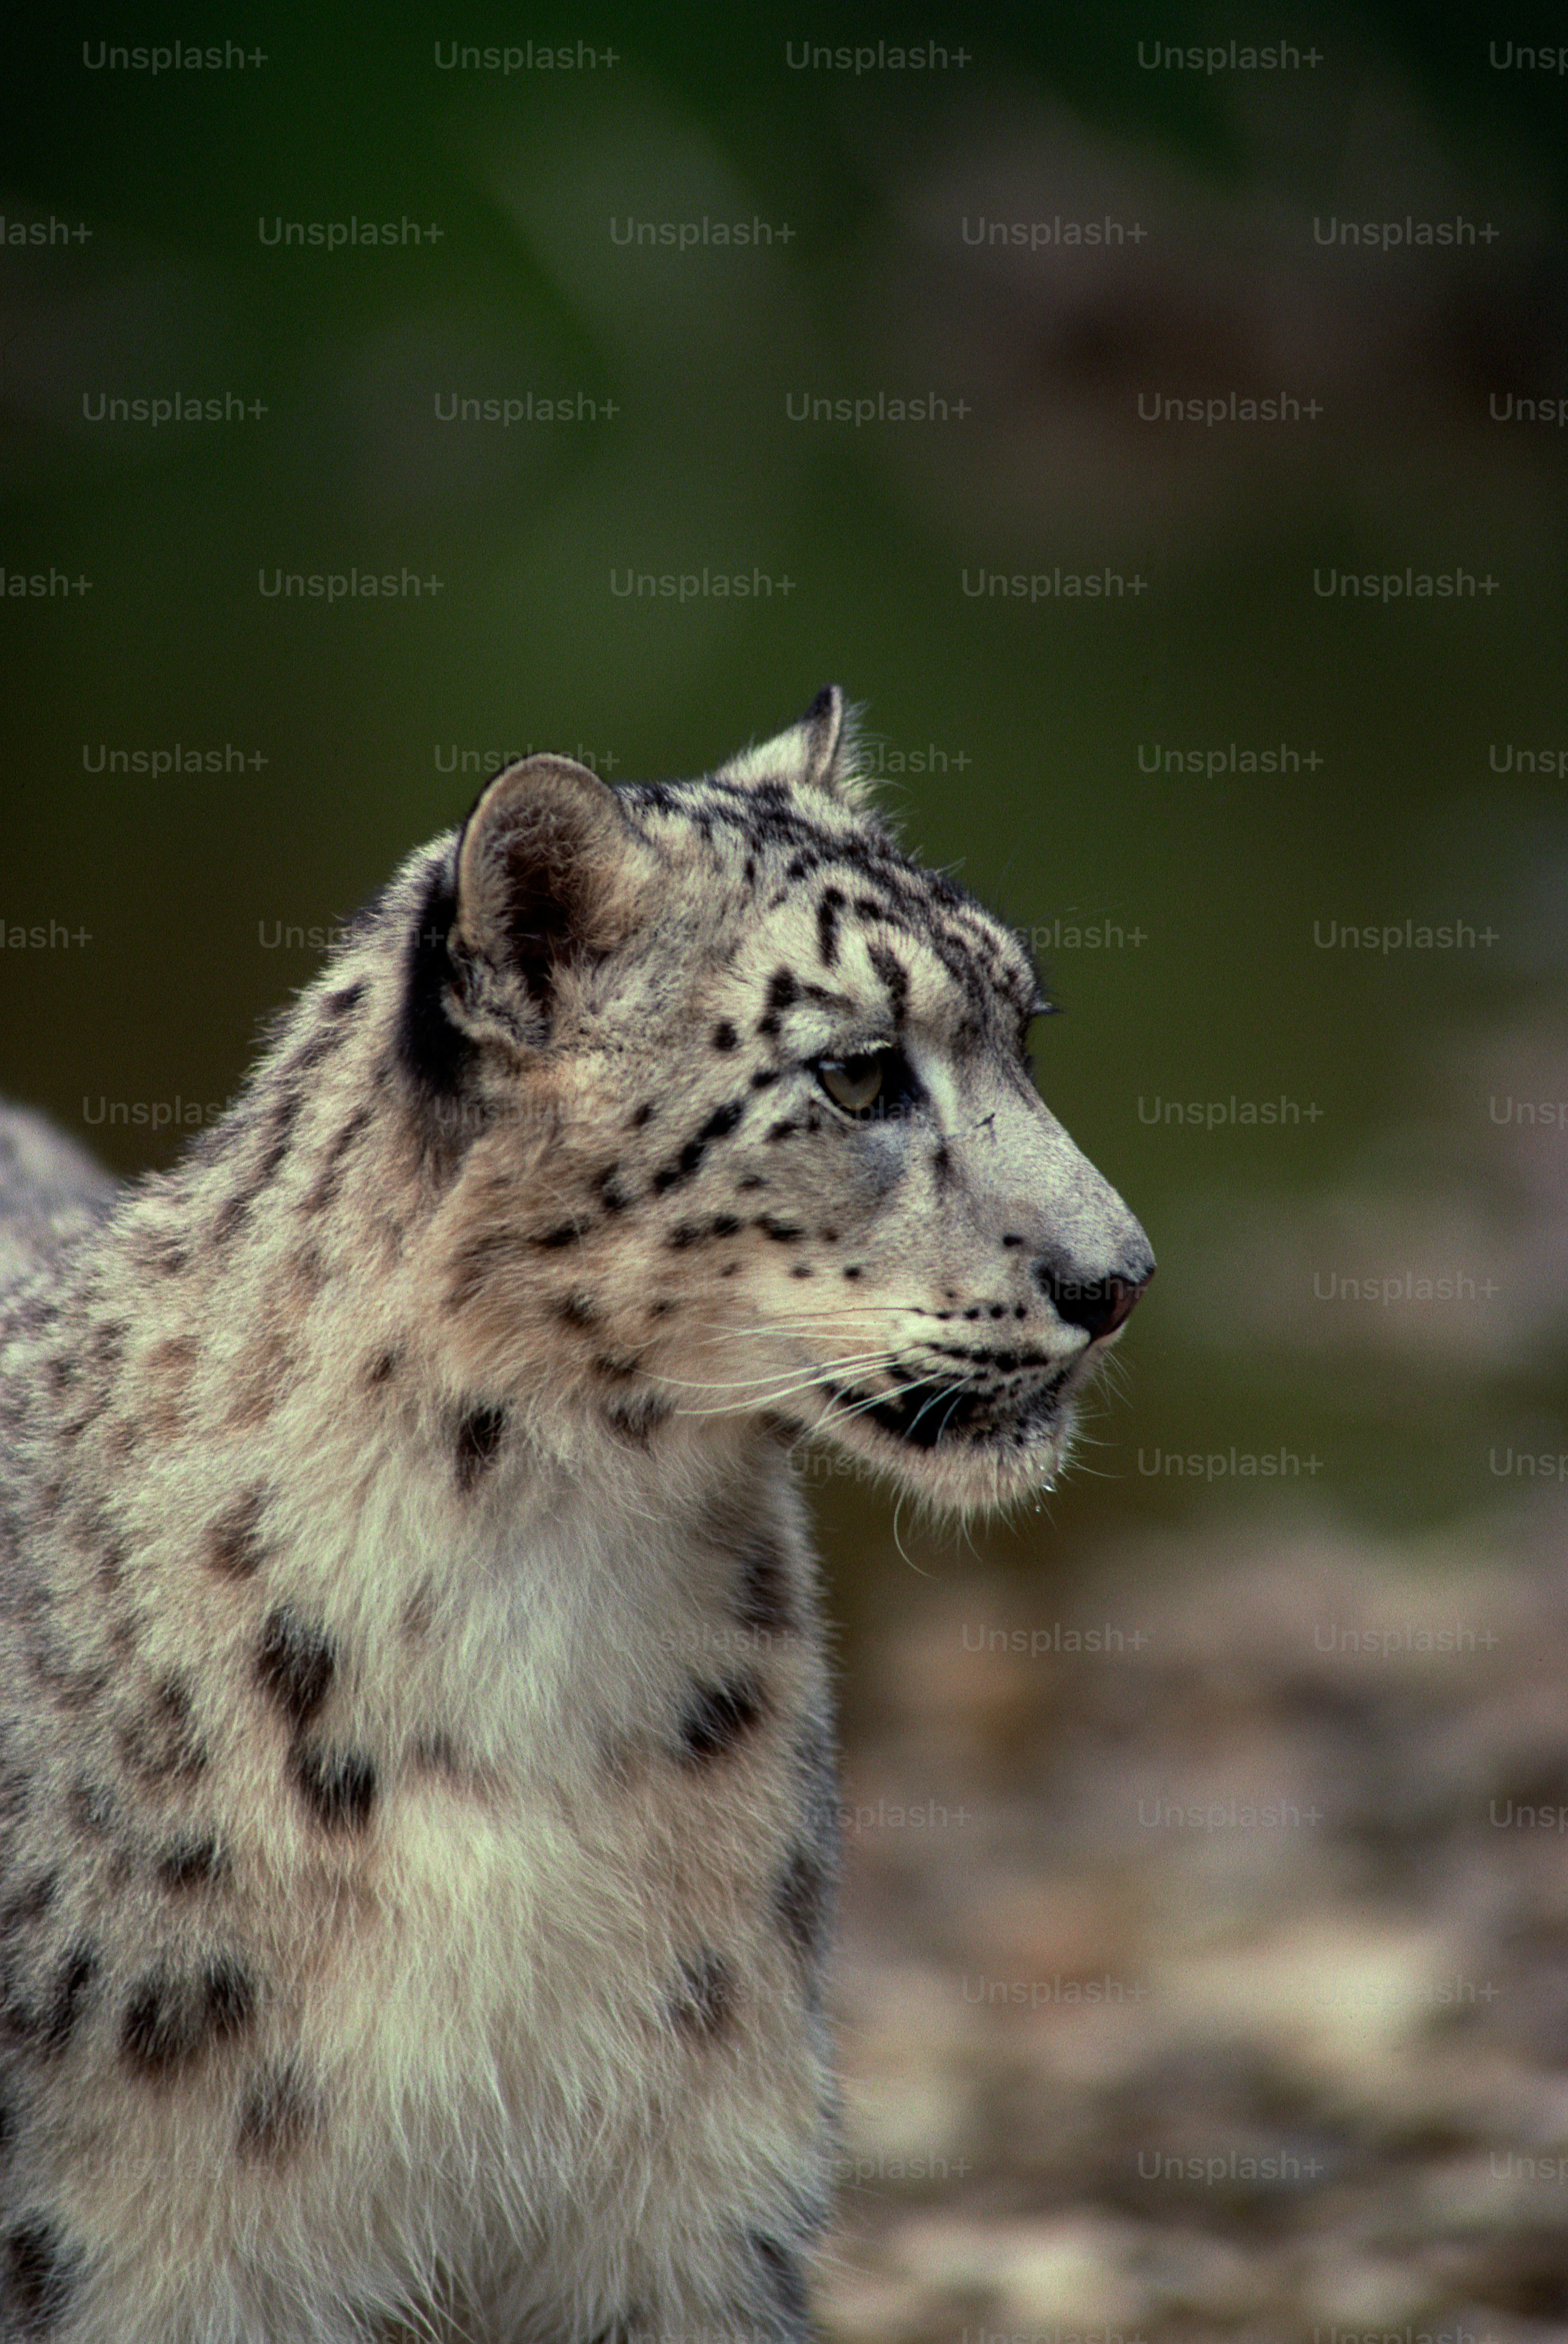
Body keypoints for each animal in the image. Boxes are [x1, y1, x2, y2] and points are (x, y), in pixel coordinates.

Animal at [0, 688, 1152, 2342]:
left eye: (1022, 1028)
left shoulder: (690, 2200)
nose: (1116, 1278)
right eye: (858, 1072)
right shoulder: (140, 2253)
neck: (540, 1591)